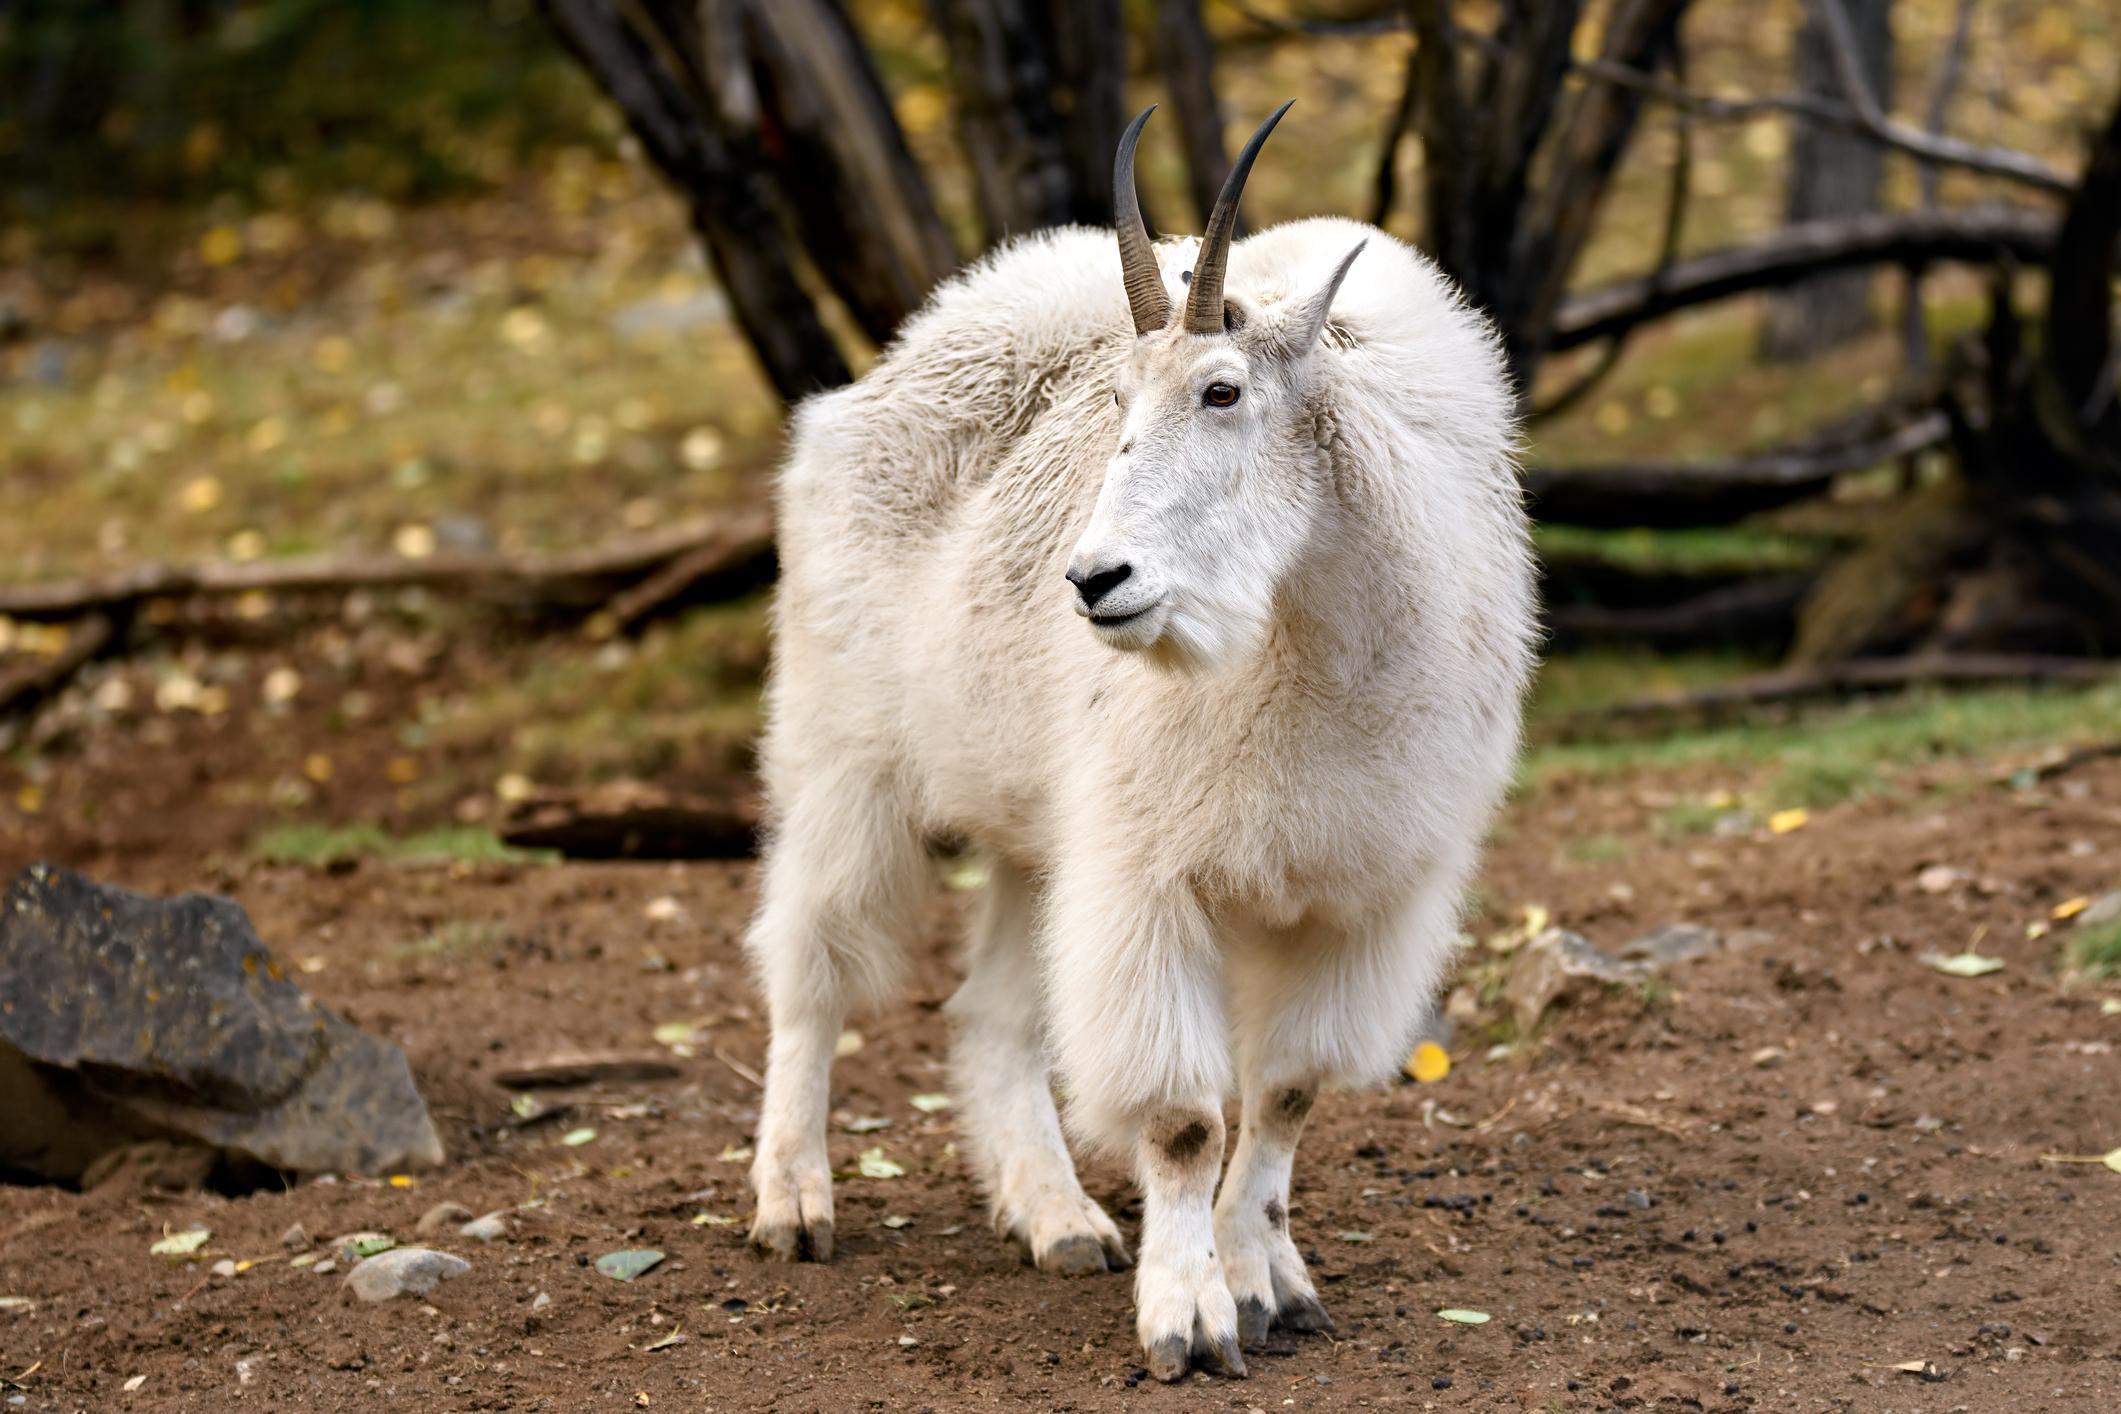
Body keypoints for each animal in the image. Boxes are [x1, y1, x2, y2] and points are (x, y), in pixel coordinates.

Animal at [743, 101, 1536, 1382]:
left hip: (1034, 834)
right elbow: (1182, 1117)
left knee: (990, 1014)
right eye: (1115, 405)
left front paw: (1267, 1281)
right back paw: (794, 1201)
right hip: (844, 758)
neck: (1311, 643)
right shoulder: (1151, 878)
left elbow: (1287, 1093)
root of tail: (867, 387)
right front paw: (1191, 1317)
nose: (1094, 579)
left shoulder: (1362, 893)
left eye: (1222, 391)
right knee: (810, 962)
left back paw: (1057, 1218)